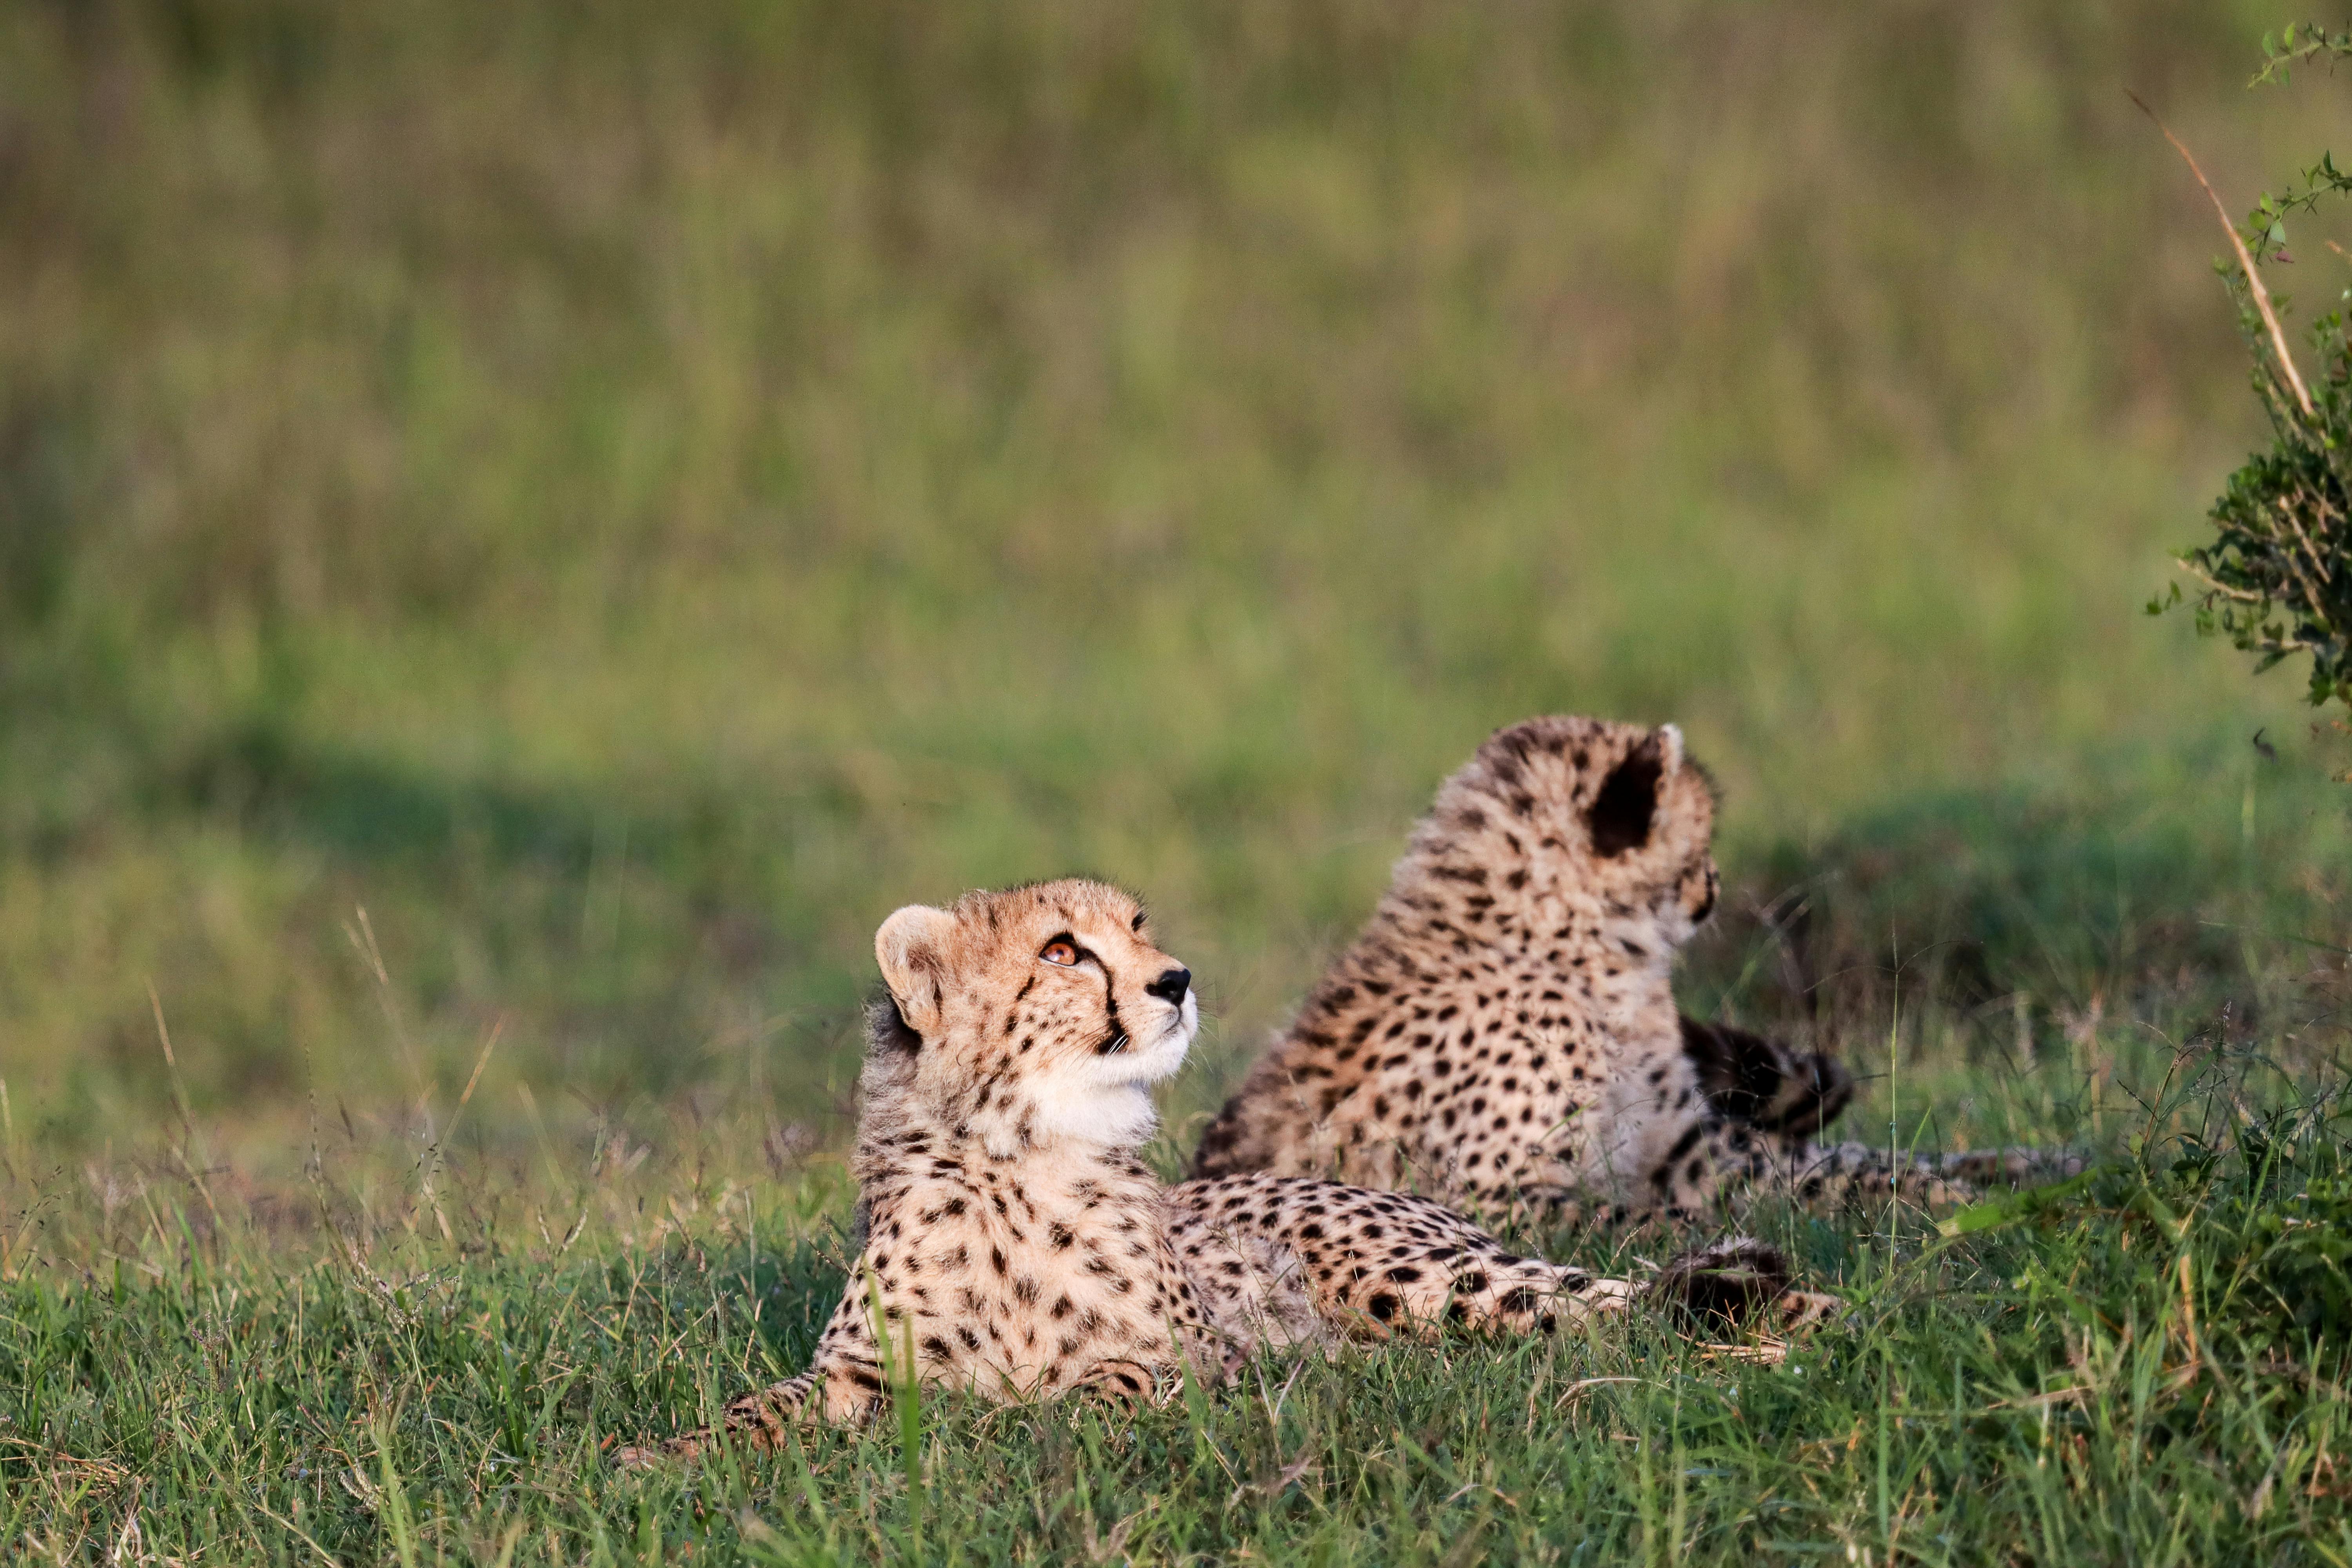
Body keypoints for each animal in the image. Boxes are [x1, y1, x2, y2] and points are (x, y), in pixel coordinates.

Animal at [622, 877, 1818, 1466]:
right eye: (1063, 950)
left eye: (1139, 926)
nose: (1177, 979)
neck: (1021, 1156)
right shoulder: (863, 1375)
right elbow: (763, 1408)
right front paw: (662, 1455)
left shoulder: (1203, 1363)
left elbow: (1105, 1387)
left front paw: (1020, 1428)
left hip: (1420, 1281)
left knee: (1627, 1301)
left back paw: (1791, 1337)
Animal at [1190, 715, 2077, 1223]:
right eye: (1700, 833)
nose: (1714, 884)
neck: (1595, 959)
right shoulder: (1503, 1195)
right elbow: (1636, 1215)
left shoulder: (1688, 1147)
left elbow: (1839, 1169)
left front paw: (1988, 1180)